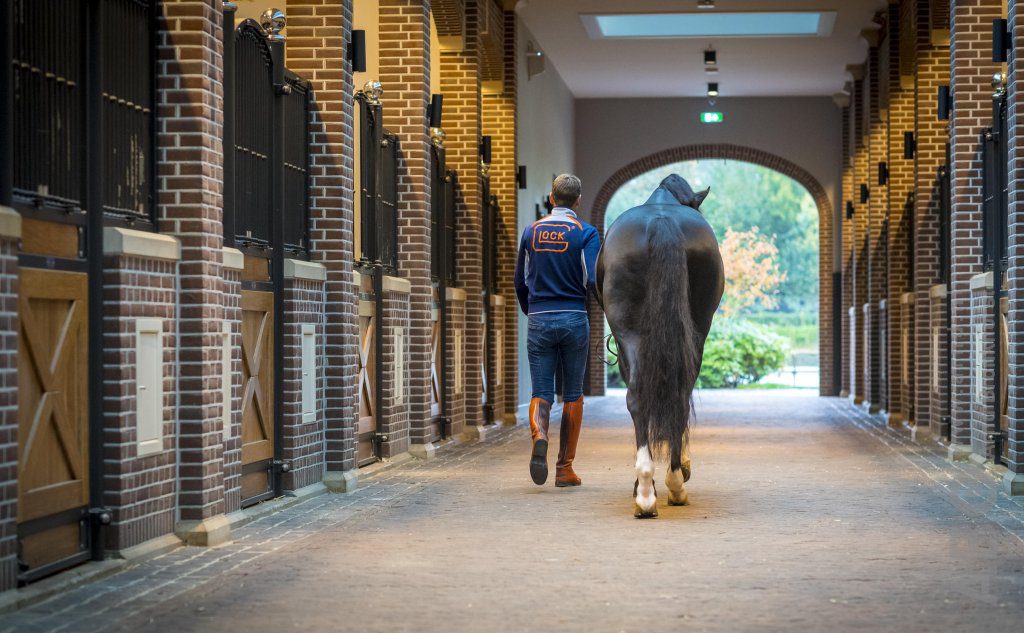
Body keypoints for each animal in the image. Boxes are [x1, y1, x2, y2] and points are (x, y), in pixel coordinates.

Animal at [596, 174, 724, 518]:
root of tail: (661, 222)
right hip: (692, 332)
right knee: (674, 395)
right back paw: (662, 485)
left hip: (632, 332)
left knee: (643, 397)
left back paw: (651, 489)